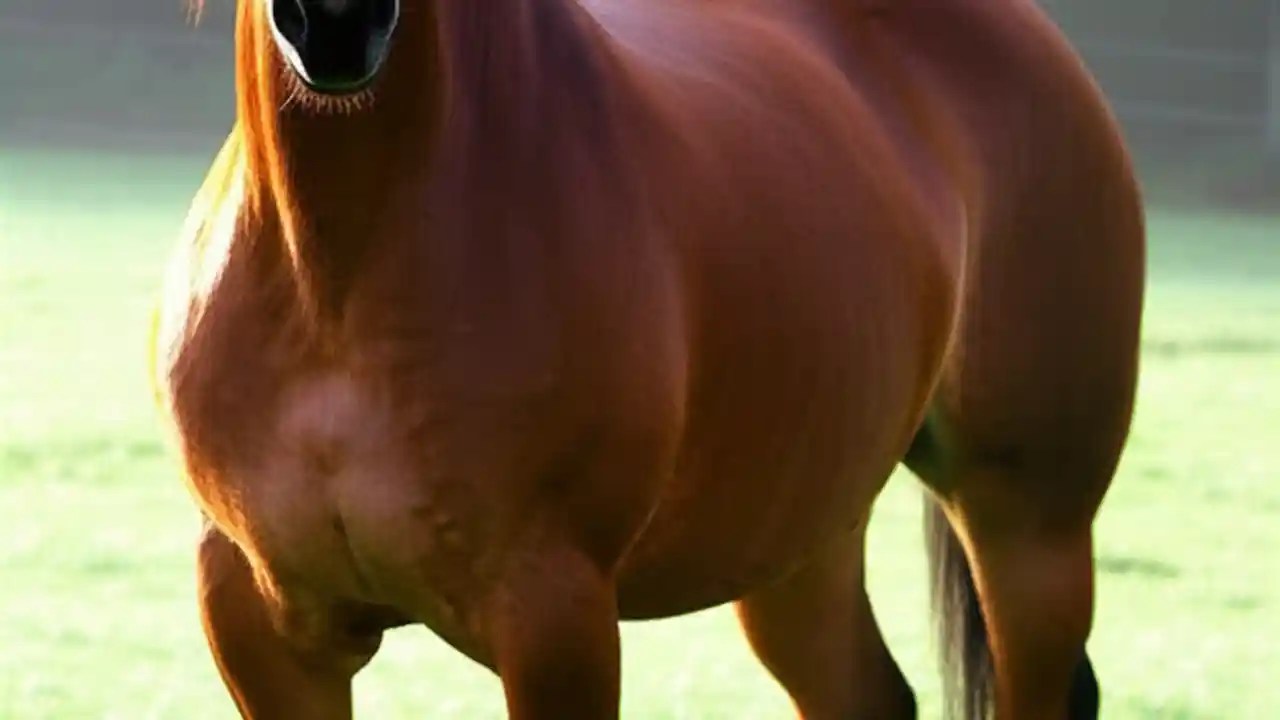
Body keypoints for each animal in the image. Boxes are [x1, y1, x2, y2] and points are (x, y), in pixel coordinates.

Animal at [152, 0, 1144, 717]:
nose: (336, 19)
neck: (339, 275)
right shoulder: (267, 625)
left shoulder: (556, 621)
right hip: (802, 533)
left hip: (1028, 527)